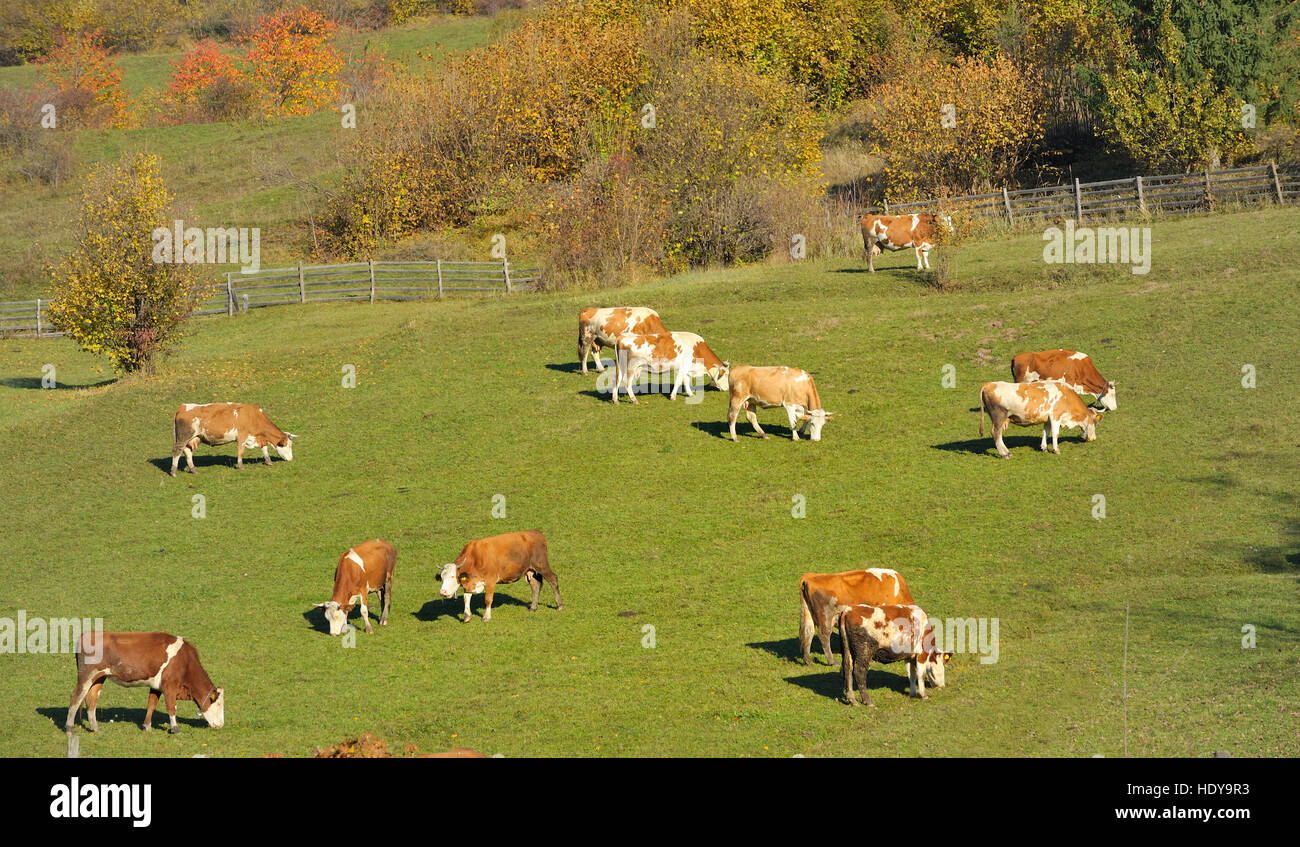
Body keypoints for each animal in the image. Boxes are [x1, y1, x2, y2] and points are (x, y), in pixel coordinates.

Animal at [66, 631, 225, 735]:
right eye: (218, 704)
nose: (221, 725)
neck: (186, 661)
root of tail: (86, 635)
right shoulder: (170, 686)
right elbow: (172, 707)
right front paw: (175, 729)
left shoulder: (157, 687)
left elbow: (151, 705)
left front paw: (147, 727)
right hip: (86, 675)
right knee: (76, 697)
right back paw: (69, 727)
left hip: (99, 677)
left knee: (91, 699)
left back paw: (95, 728)